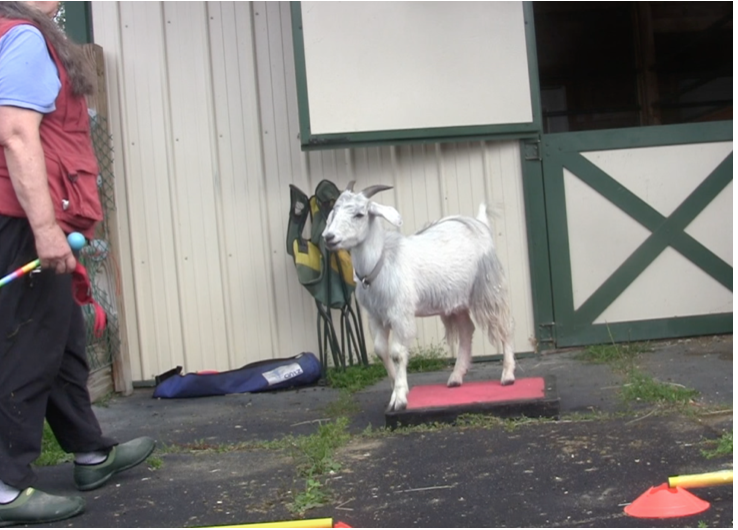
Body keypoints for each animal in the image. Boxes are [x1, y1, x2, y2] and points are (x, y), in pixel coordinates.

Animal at [322, 181, 515, 411]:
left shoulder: (400, 314)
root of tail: (480, 224)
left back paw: (507, 375)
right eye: (334, 211)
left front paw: (399, 398)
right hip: (456, 301)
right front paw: (396, 386)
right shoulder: (375, 316)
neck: (380, 263)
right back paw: (456, 377)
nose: (329, 237)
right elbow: (380, 350)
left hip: (489, 287)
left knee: (503, 325)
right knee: (467, 330)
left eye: (359, 214)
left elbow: (397, 352)